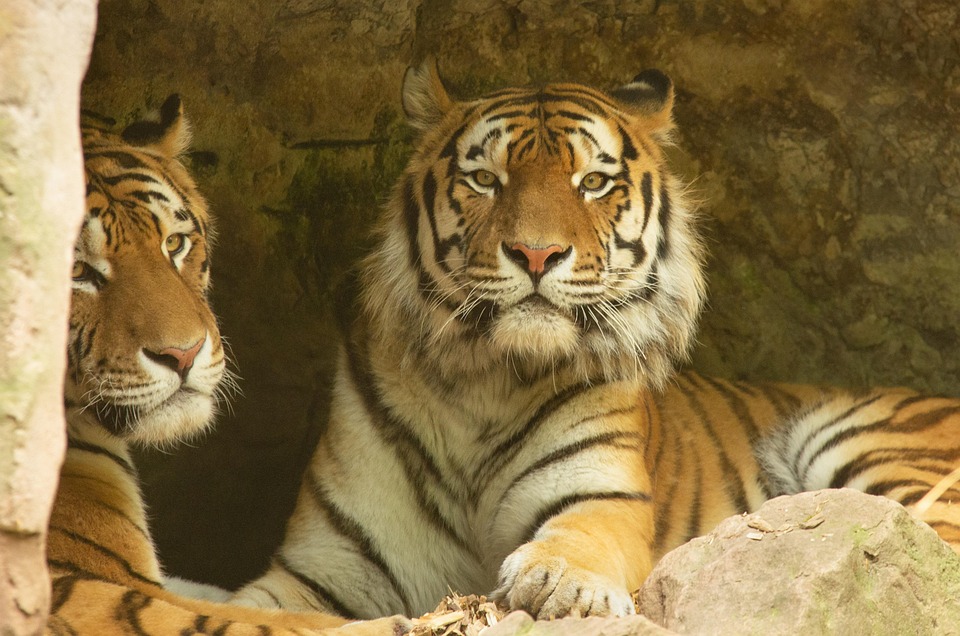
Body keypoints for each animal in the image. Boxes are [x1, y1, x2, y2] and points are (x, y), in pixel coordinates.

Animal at [231, 60, 960, 621]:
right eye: (485, 179)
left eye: (593, 183)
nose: (536, 253)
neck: (483, 384)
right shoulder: (326, 568)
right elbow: (244, 606)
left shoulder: (599, 497)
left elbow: (576, 537)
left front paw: (556, 580)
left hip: (857, 438)